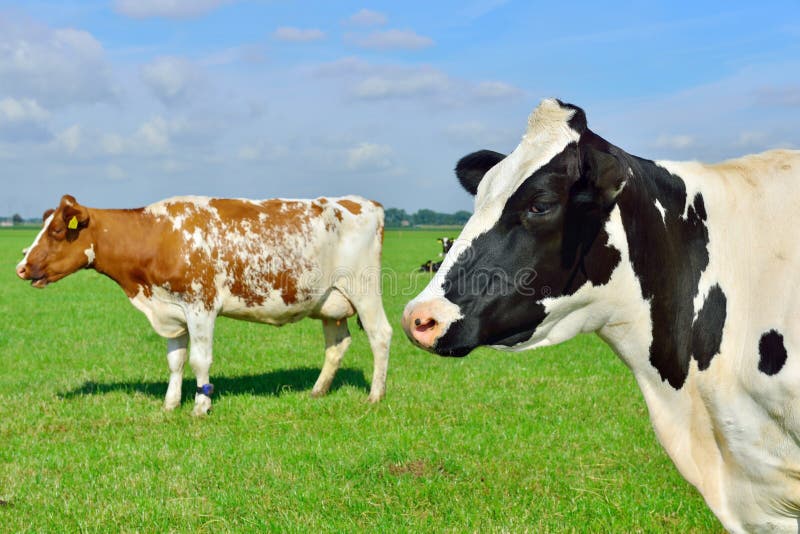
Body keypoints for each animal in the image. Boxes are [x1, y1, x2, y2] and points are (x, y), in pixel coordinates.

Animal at [17, 194, 392, 416]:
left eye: (57, 232)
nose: (21, 267)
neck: (159, 235)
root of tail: (362, 202)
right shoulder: (172, 311)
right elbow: (175, 361)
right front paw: (170, 404)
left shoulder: (201, 306)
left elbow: (199, 360)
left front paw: (200, 405)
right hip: (329, 303)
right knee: (337, 345)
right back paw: (317, 391)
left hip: (364, 290)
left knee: (380, 336)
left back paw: (375, 396)